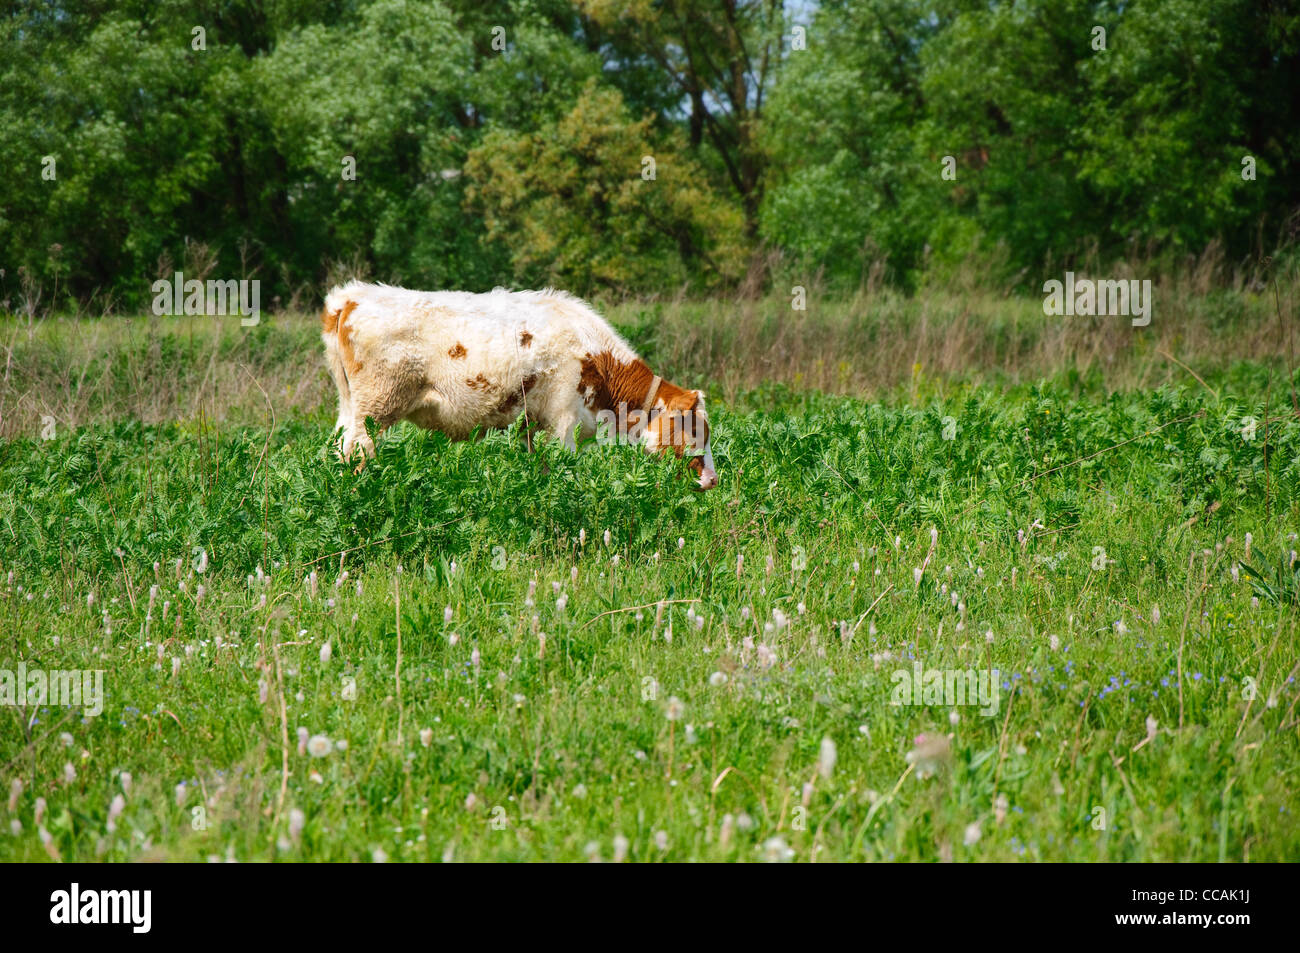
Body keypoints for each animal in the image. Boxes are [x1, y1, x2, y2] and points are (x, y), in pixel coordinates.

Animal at [321, 281, 718, 489]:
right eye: (693, 428)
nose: (713, 479)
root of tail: (353, 295)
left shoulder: (532, 425)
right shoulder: (563, 421)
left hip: (350, 408)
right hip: (374, 411)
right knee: (354, 454)